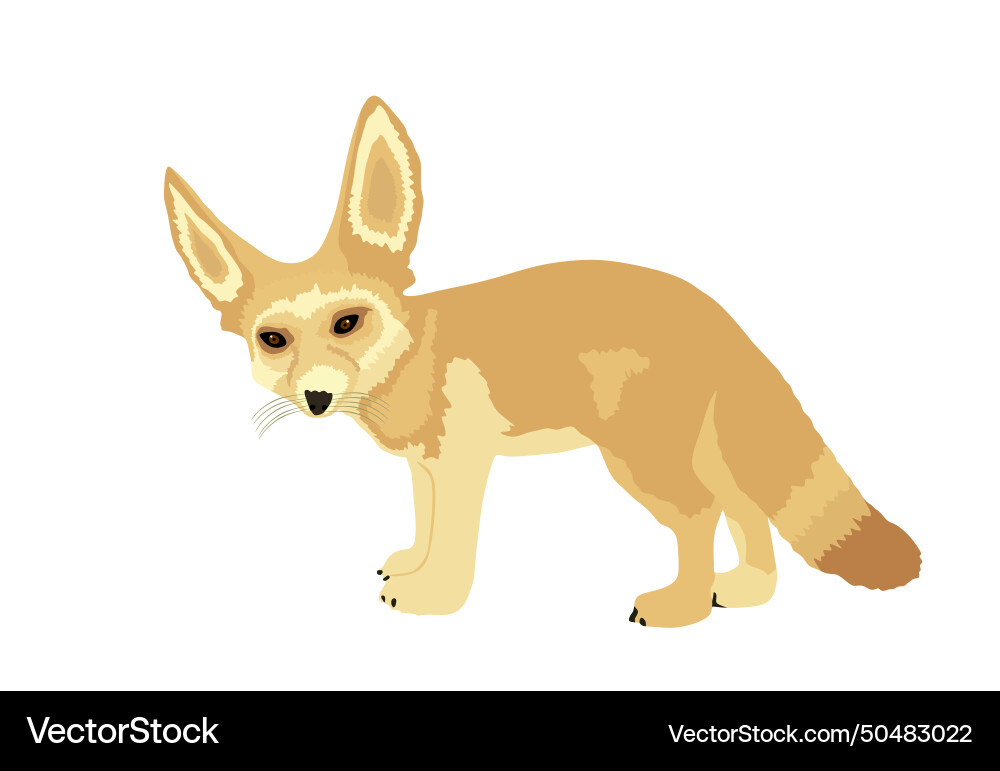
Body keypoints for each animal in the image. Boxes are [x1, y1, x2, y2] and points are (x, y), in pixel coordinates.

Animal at [163, 96, 921, 627]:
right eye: (273, 341)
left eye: (347, 323)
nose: (317, 399)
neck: (415, 356)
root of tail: (717, 311)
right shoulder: (425, 466)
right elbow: (424, 524)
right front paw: (409, 567)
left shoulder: (462, 463)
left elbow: (455, 542)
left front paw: (435, 598)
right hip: (691, 449)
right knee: (744, 506)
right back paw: (743, 590)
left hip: (640, 462)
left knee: (703, 513)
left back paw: (682, 605)